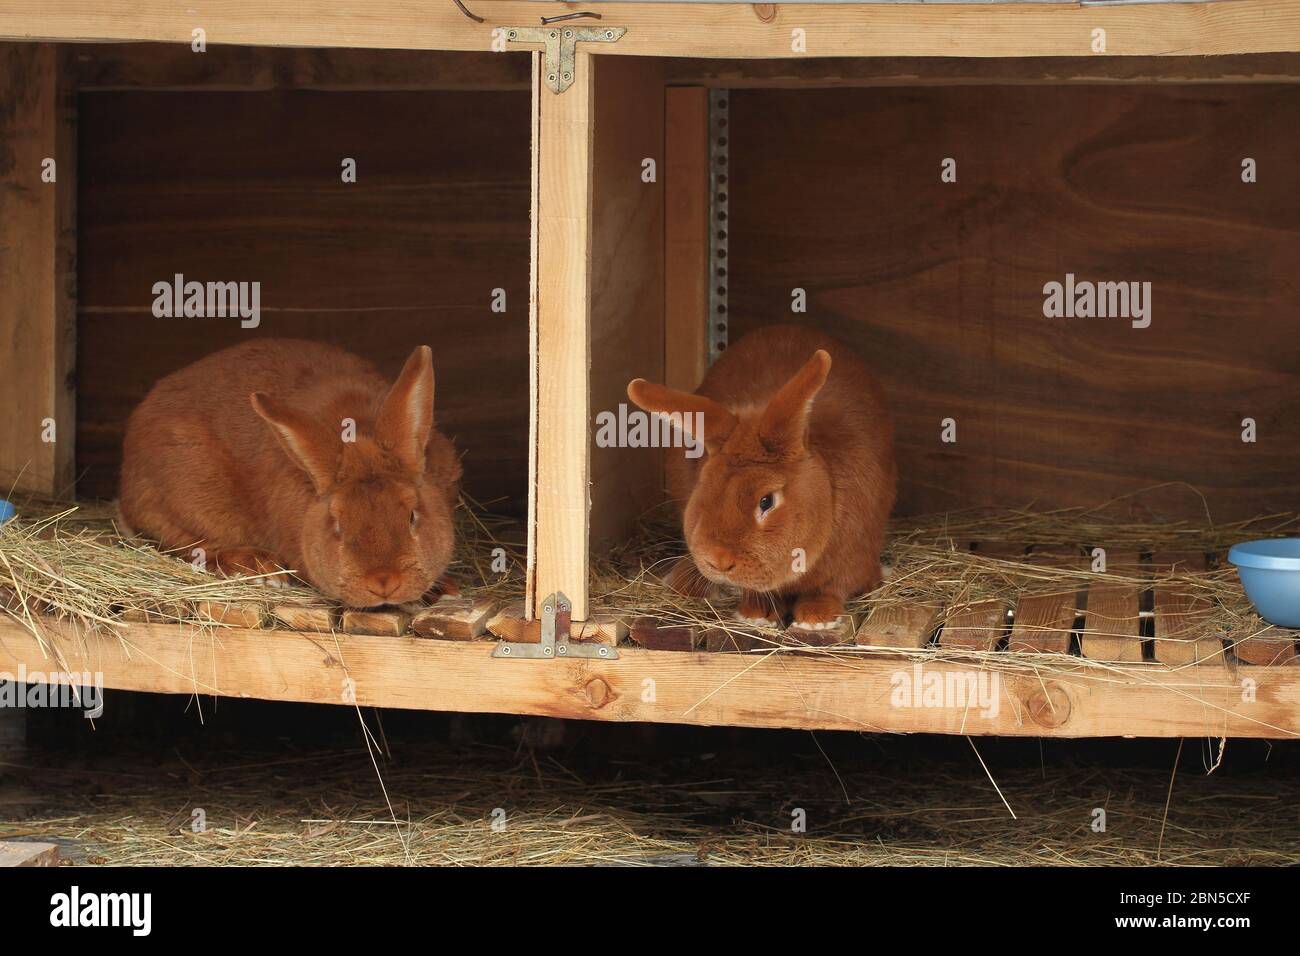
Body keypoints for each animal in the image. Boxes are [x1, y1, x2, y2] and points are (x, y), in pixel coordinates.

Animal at [627, 324, 896, 630]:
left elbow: (830, 588)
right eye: (704, 486)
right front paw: (756, 613)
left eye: (766, 501)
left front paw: (817, 619)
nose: (719, 560)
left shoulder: (852, 556)